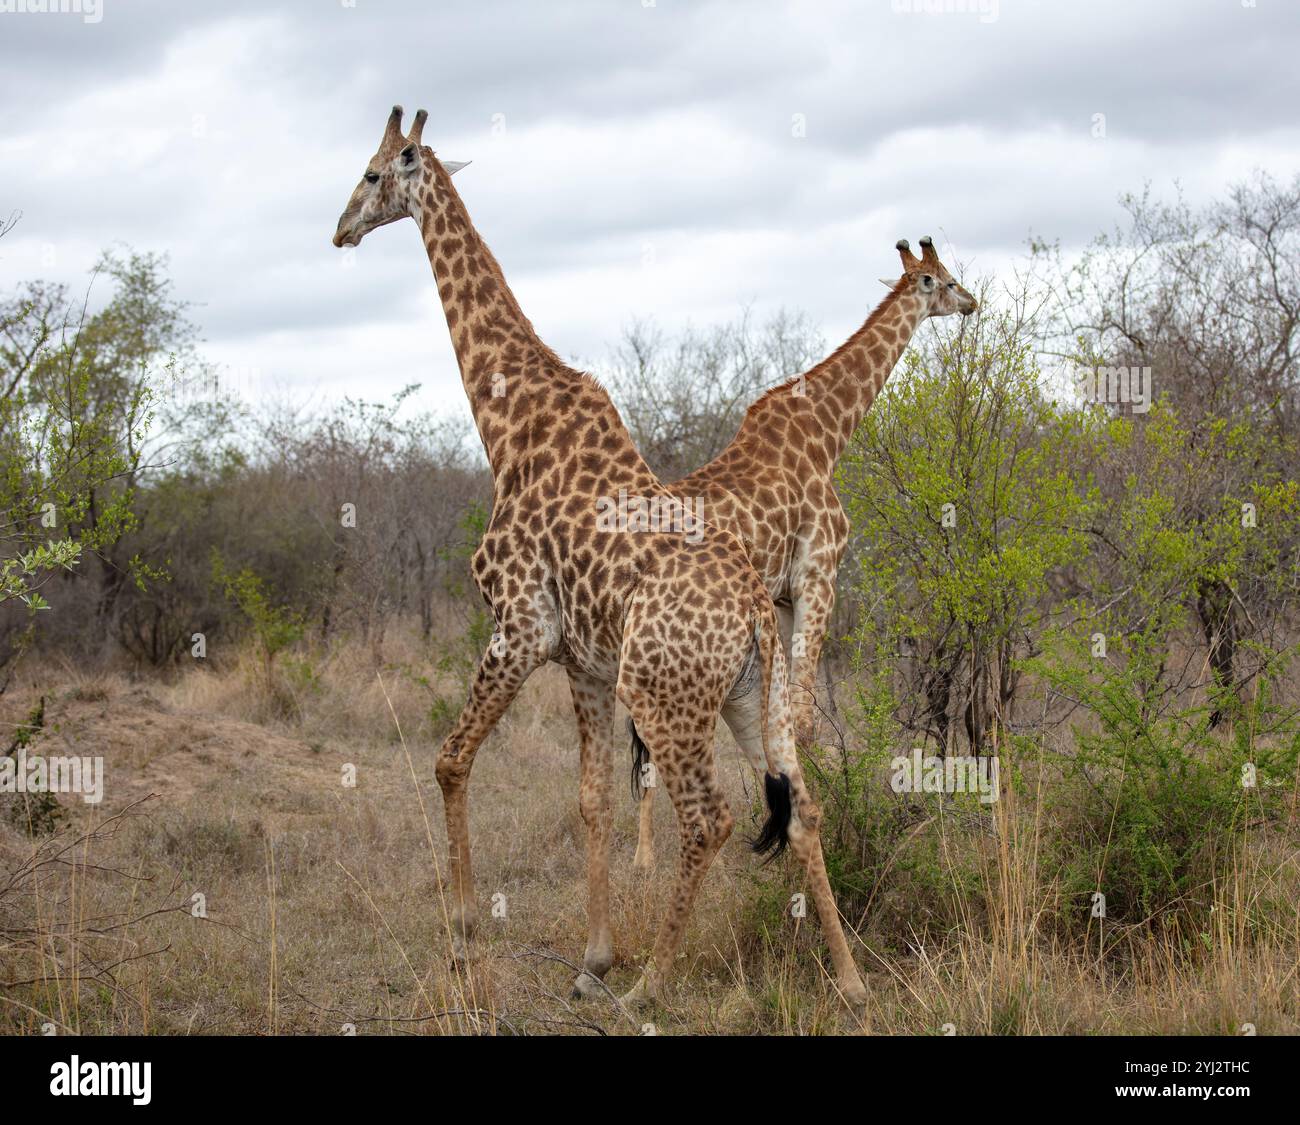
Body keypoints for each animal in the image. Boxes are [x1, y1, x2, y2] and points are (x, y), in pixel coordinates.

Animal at [330, 106, 867, 1012]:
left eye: (372, 172)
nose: (339, 230)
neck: (507, 422)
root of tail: (757, 608)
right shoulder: (581, 661)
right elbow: (591, 803)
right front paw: (591, 958)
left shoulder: (517, 626)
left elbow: (449, 760)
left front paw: (465, 930)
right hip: (746, 695)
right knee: (802, 802)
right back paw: (851, 980)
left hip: (667, 697)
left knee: (712, 818)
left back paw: (652, 986)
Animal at [633, 237, 977, 869]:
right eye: (944, 279)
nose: (973, 302)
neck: (828, 432)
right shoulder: (820, 576)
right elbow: (805, 716)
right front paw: (825, 821)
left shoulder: (784, 597)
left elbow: (792, 720)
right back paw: (645, 859)